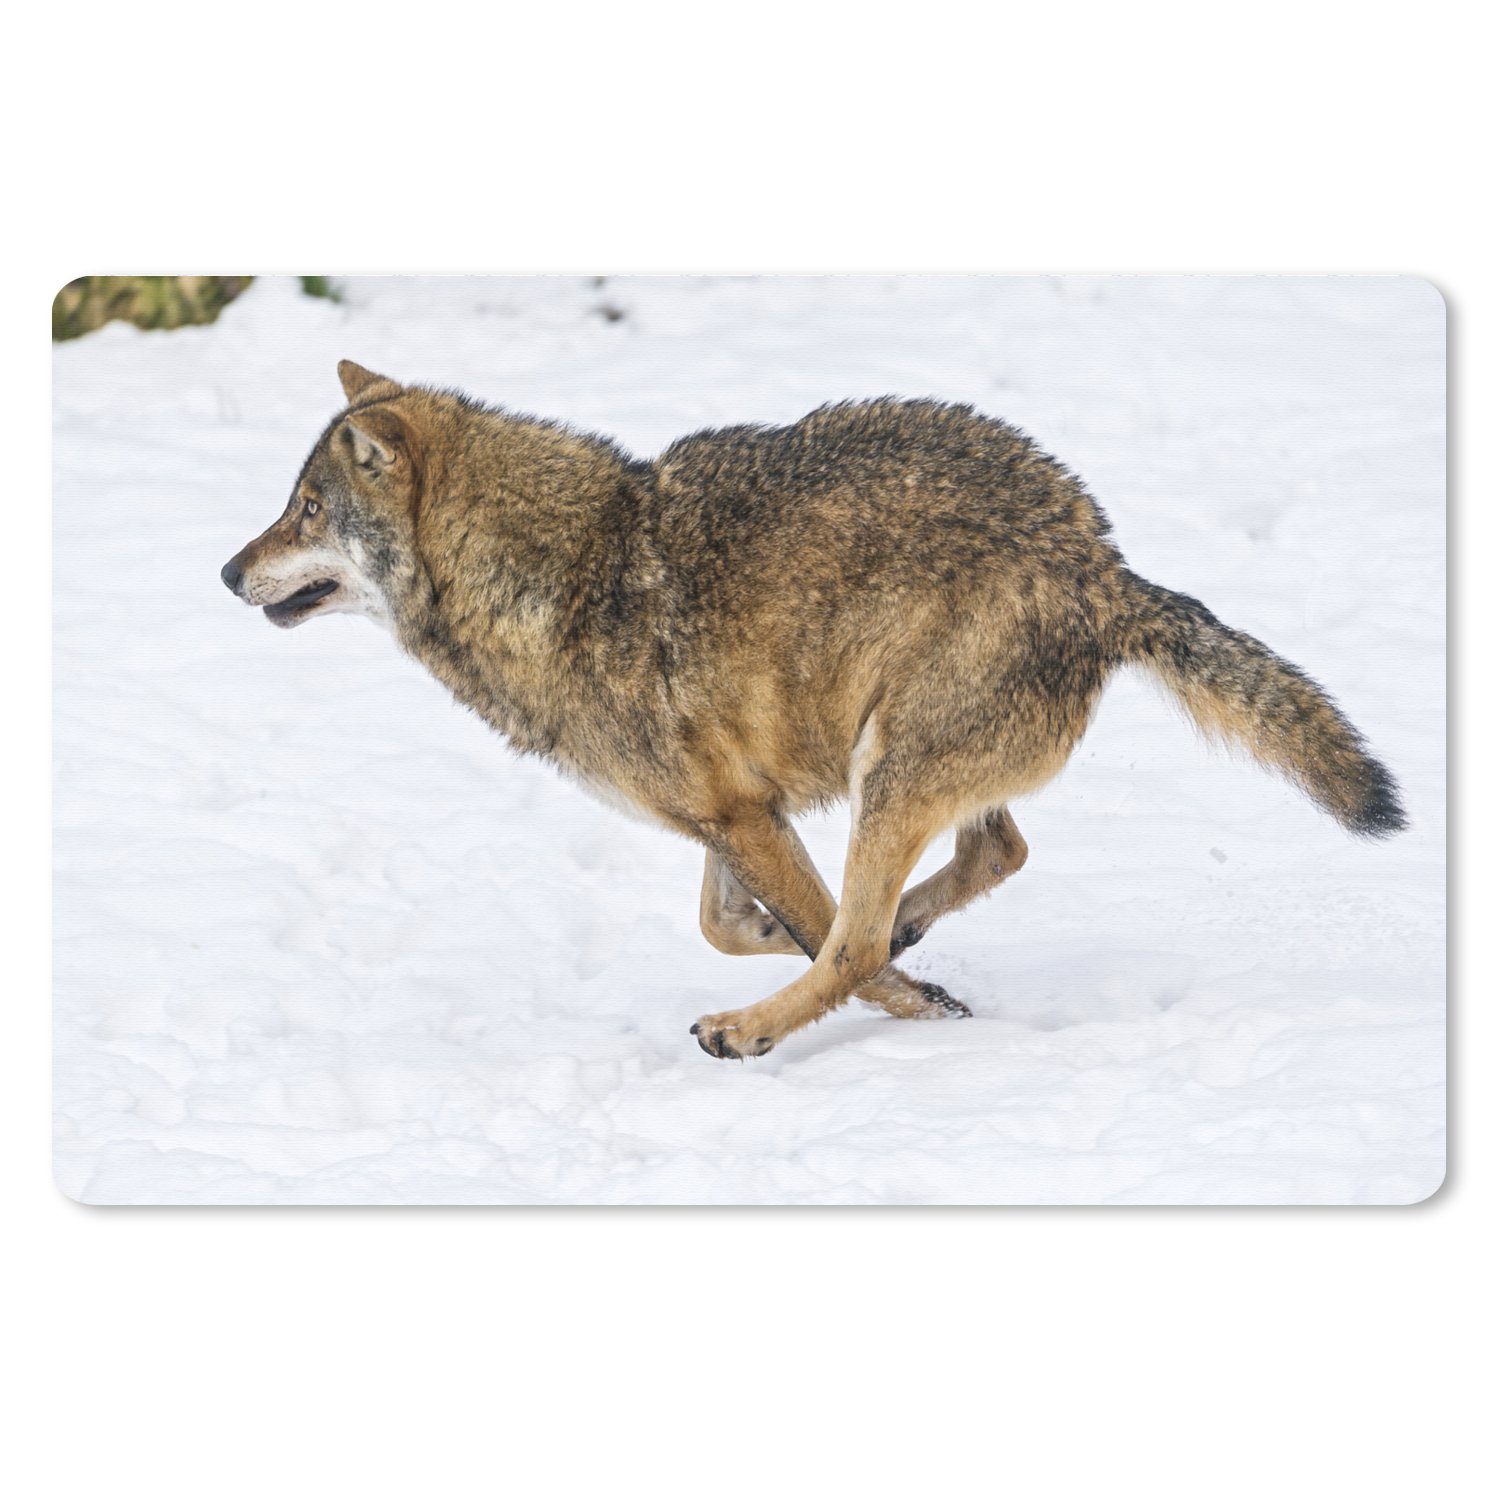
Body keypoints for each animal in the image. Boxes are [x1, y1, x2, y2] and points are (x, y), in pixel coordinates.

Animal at [222, 361, 1405, 1059]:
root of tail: (1103, 566)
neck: (557, 576)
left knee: (866, 932)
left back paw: (750, 1029)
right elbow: (732, 920)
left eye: (308, 509)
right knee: (988, 857)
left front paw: (905, 1001)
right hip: (913, 766)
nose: (228, 572)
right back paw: (900, 929)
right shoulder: (732, 812)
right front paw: (819, 944)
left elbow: (832, 947)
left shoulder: (739, 815)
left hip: (892, 766)